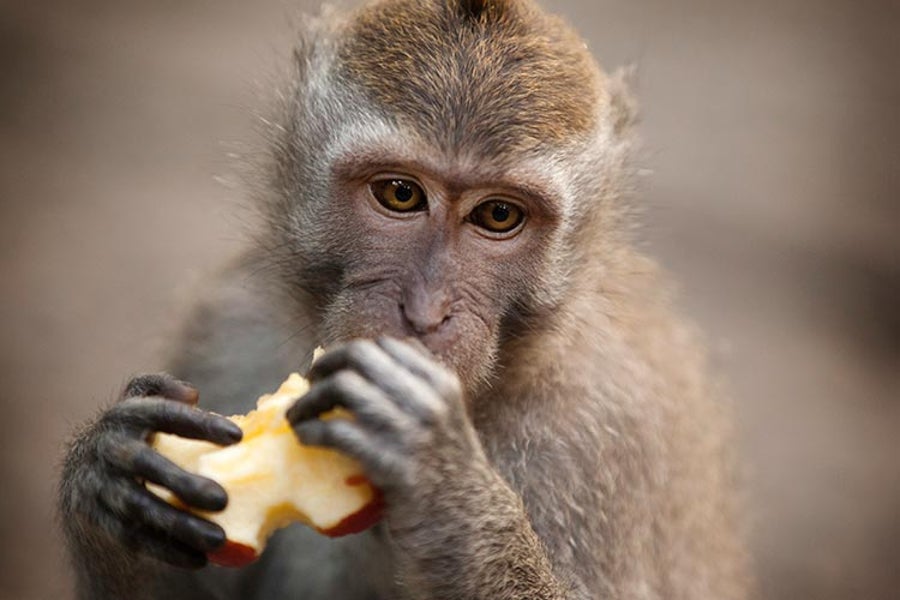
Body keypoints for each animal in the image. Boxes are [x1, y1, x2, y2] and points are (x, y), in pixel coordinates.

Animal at [57, 0, 750, 598]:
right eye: (400, 195)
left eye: (498, 215)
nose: (424, 313)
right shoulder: (229, 323)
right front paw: (108, 473)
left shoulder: (599, 430)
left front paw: (444, 483)